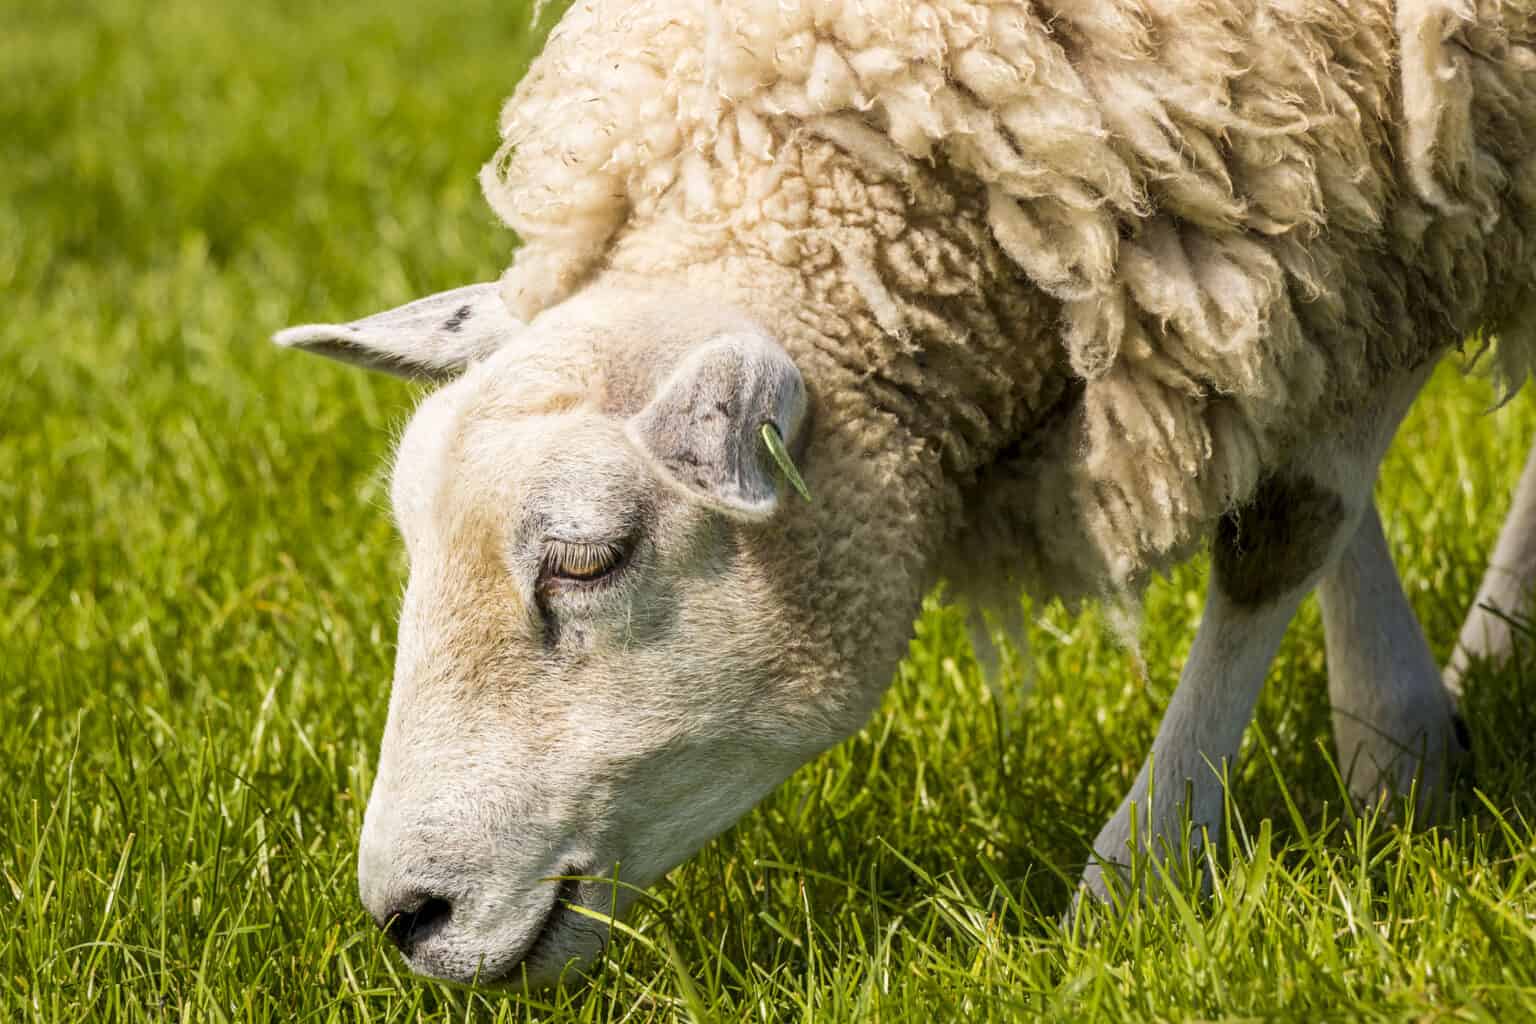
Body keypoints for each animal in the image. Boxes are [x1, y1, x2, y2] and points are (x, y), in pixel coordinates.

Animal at [273, 0, 1536, 987]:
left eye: (589, 558)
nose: (406, 917)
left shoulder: (1384, 182)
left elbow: (1284, 525)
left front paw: (1141, 875)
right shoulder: (1336, 221)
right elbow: (1310, 472)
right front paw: (1407, 747)